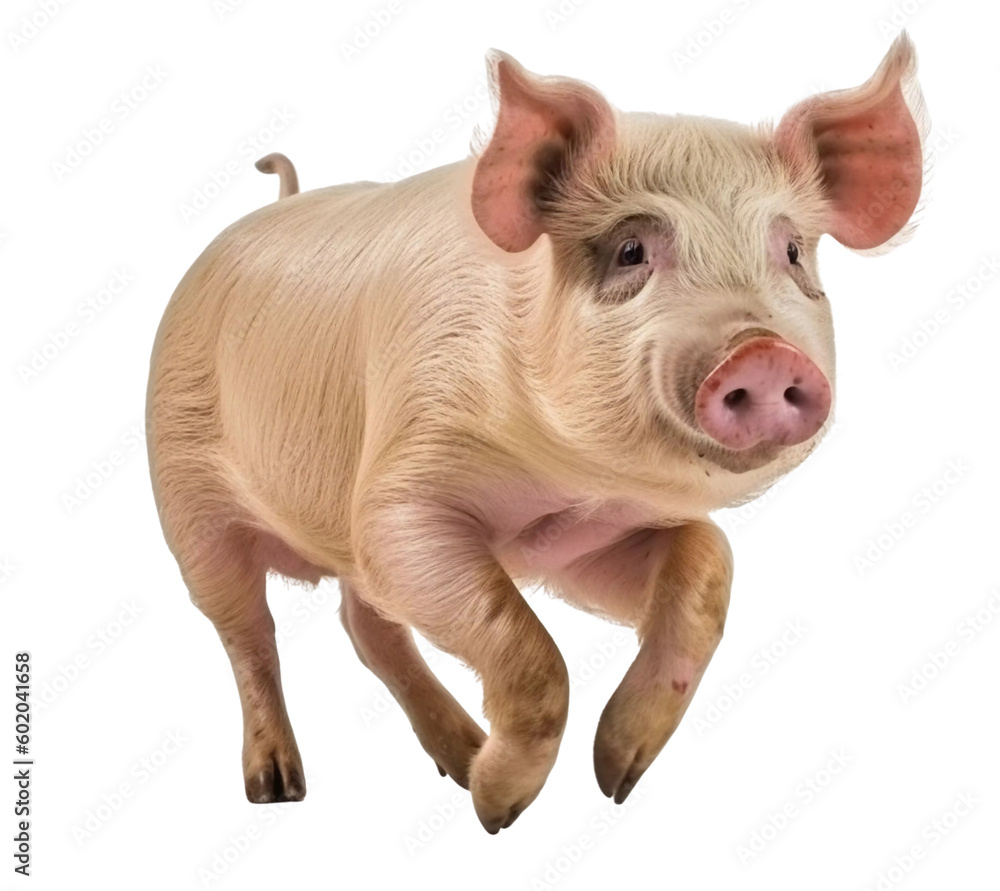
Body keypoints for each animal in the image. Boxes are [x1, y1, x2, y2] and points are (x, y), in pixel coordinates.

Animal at [146, 33, 928, 833]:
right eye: (631, 250)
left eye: (793, 251)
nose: (762, 351)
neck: (572, 482)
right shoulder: (403, 489)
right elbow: (527, 650)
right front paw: (499, 813)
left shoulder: (578, 545)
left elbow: (709, 560)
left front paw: (615, 779)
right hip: (184, 490)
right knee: (249, 634)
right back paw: (279, 787)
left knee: (367, 624)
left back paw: (459, 759)